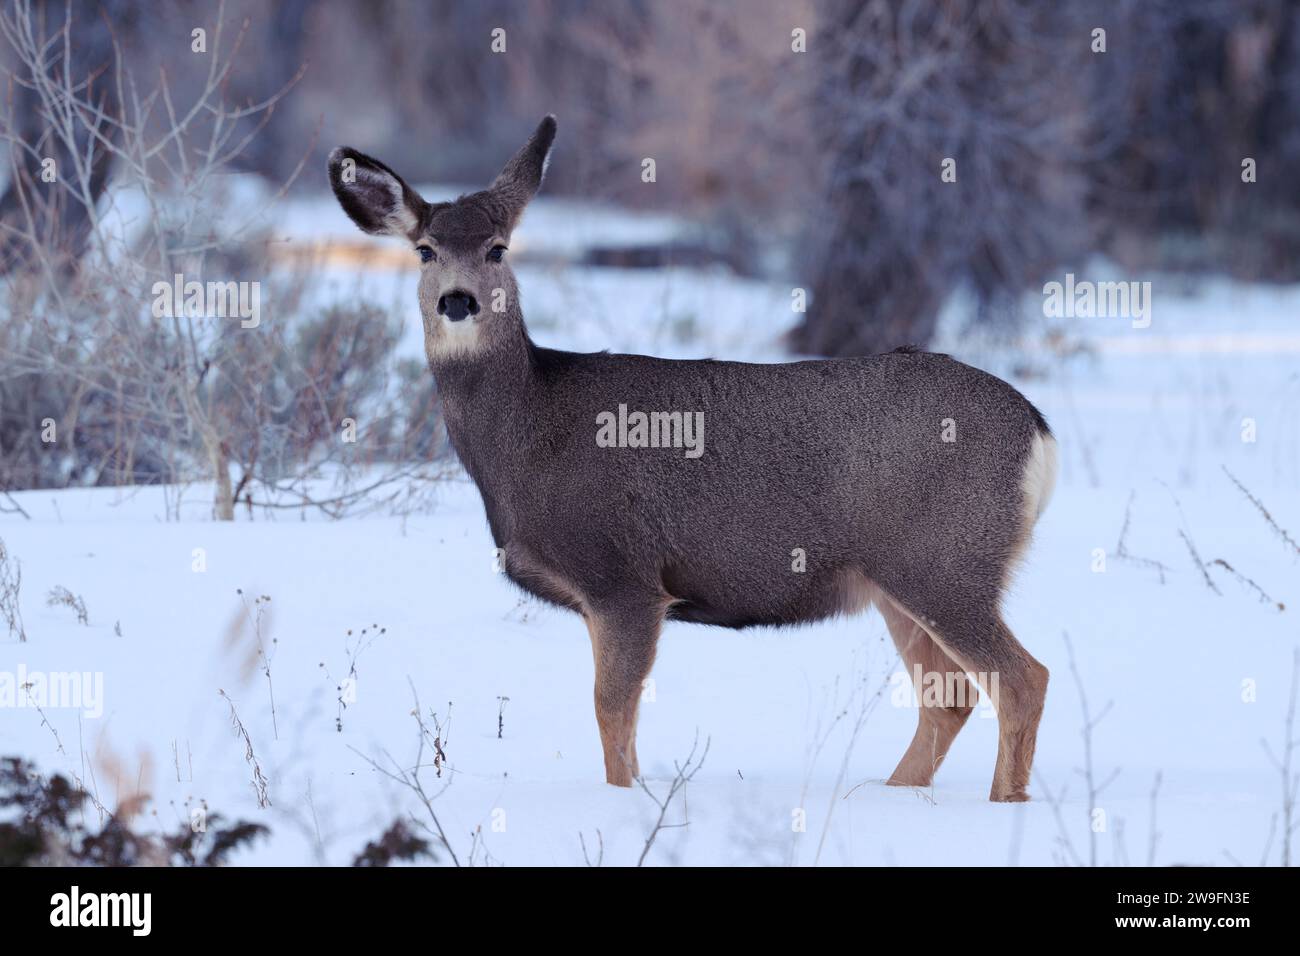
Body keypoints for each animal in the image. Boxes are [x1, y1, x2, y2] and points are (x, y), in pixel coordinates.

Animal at [328, 115, 1058, 802]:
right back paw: (889, 794)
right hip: (896, 580)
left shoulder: (624, 577)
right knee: (950, 695)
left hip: (946, 561)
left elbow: (612, 715)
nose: (457, 300)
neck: (528, 434)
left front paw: (625, 803)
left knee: (1021, 678)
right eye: (425, 250)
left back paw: (1001, 803)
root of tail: (1039, 433)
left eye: (497, 247)